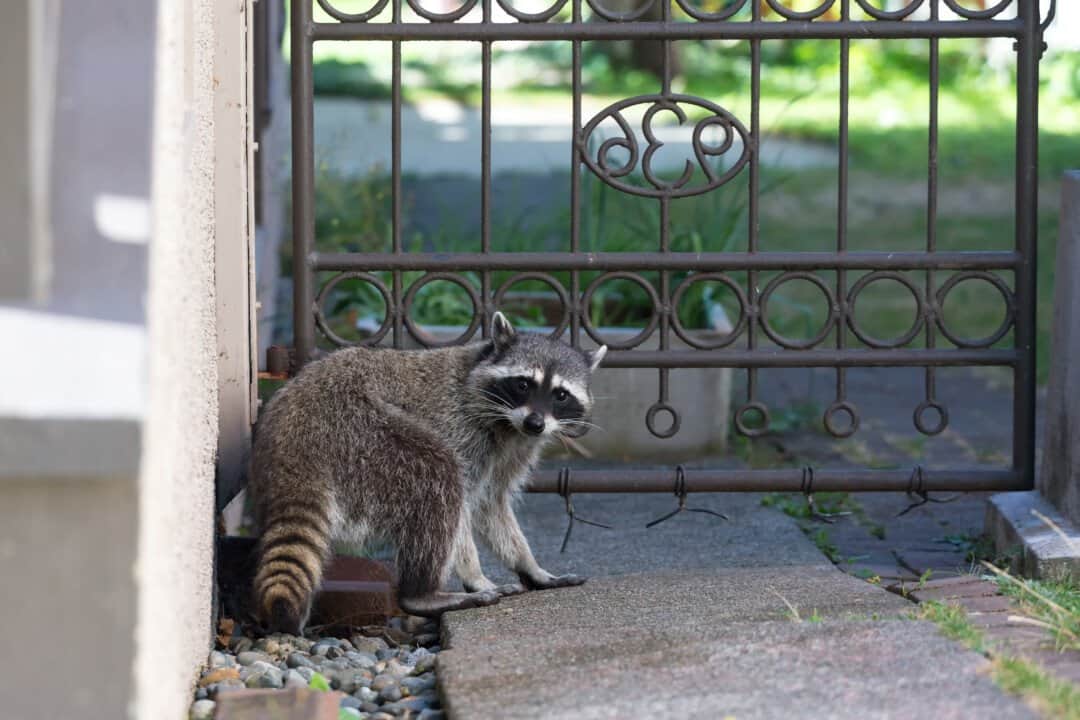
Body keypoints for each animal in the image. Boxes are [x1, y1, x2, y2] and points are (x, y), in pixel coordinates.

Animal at [249, 312, 606, 633]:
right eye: (522, 384)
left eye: (561, 394)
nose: (536, 423)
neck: (508, 424)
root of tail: (294, 438)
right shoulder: (461, 428)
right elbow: (463, 508)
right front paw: (475, 576)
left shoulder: (512, 451)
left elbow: (492, 506)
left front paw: (530, 566)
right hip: (362, 432)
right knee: (438, 477)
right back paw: (422, 593)